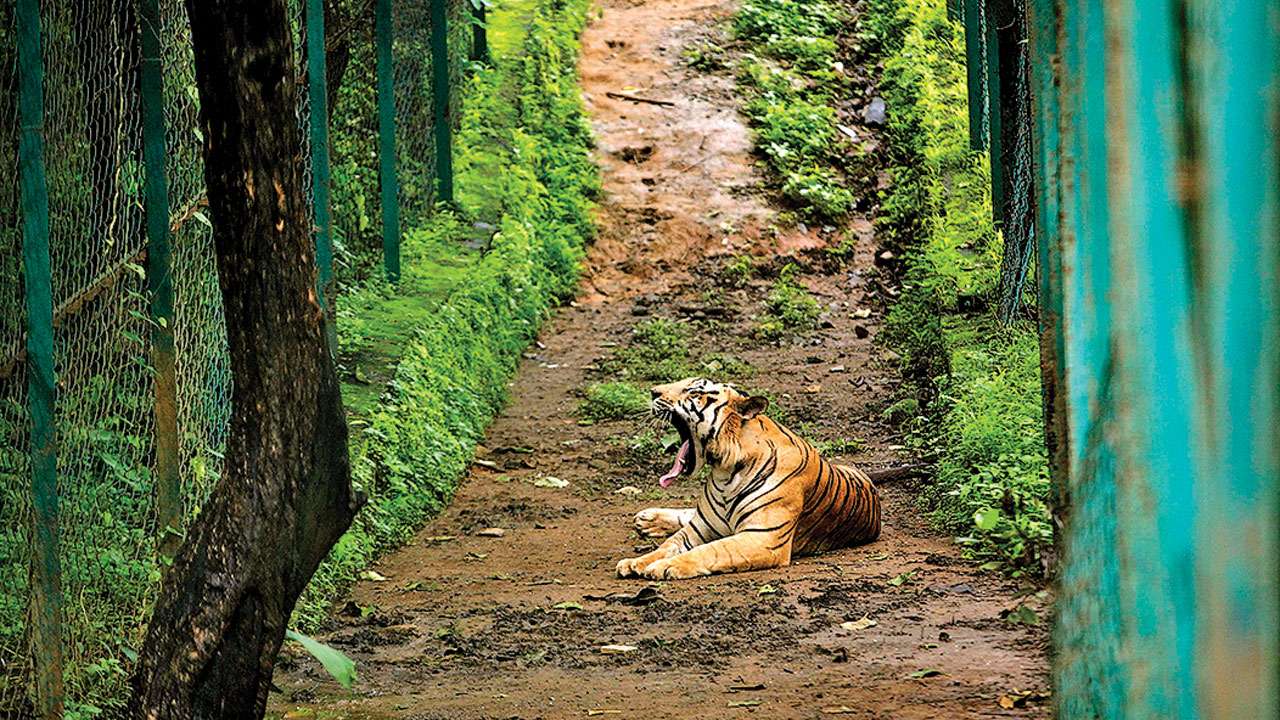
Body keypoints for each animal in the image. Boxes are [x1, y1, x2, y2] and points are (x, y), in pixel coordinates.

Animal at [615, 377, 882, 580]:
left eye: (694, 392)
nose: (652, 392)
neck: (724, 472)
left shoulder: (762, 537)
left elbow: (711, 550)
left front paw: (664, 567)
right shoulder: (700, 528)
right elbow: (668, 545)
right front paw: (635, 562)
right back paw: (647, 519)